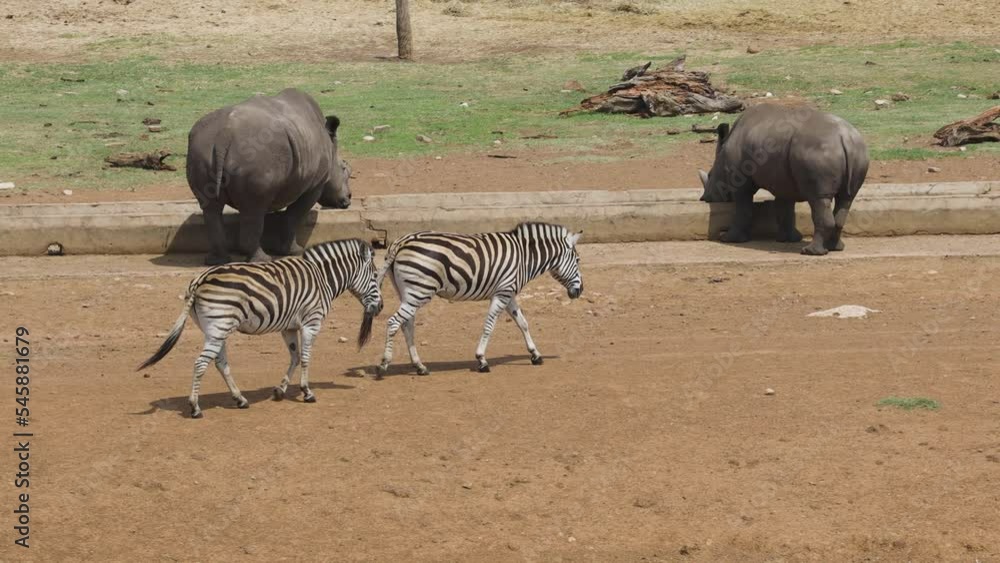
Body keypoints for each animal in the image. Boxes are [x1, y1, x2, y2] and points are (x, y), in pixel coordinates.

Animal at [137, 239, 383, 418]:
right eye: (374, 276)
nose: (380, 307)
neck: (322, 278)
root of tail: (201, 279)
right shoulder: (311, 323)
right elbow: (305, 358)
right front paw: (307, 392)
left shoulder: (289, 327)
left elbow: (294, 357)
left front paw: (280, 391)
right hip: (219, 327)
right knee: (200, 364)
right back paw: (195, 408)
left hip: (216, 329)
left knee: (220, 363)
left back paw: (240, 400)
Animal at [375, 222, 583, 377]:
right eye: (578, 260)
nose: (580, 291)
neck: (525, 257)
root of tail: (401, 241)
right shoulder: (502, 293)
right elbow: (489, 326)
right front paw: (482, 360)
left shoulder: (508, 292)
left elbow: (522, 323)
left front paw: (535, 354)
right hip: (419, 292)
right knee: (393, 322)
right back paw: (384, 365)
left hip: (408, 293)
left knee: (407, 325)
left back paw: (419, 366)